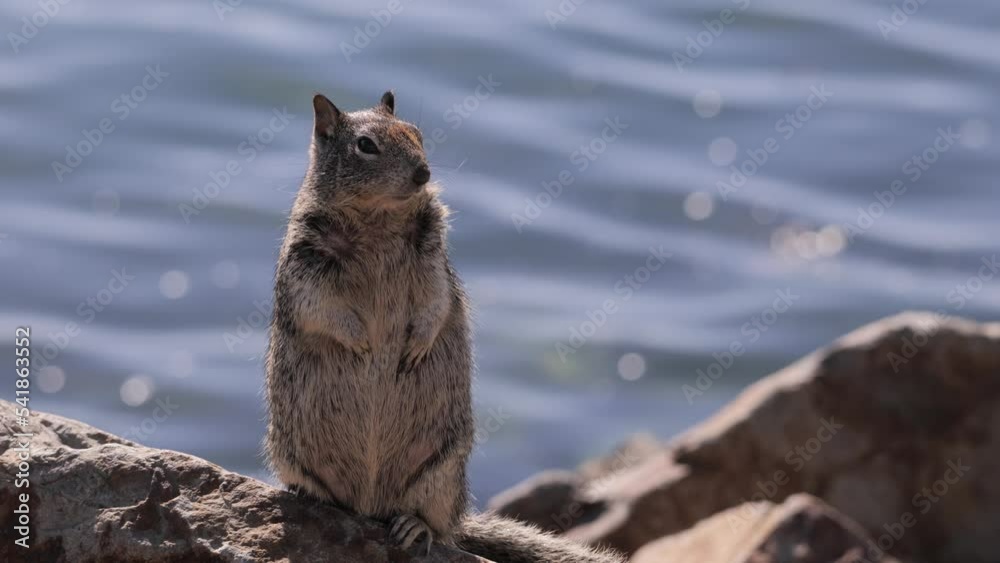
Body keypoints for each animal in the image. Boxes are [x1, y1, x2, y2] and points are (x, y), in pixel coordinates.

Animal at [263, 91, 624, 563]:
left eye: (417, 133)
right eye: (365, 145)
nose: (423, 173)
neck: (378, 216)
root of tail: (368, 505)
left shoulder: (434, 255)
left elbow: (437, 302)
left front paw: (414, 345)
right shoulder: (304, 262)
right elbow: (319, 307)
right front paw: (362, 345)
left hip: (443, 472)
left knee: (435, 521)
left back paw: (413, 527)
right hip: (289, 454)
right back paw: (312, 497)